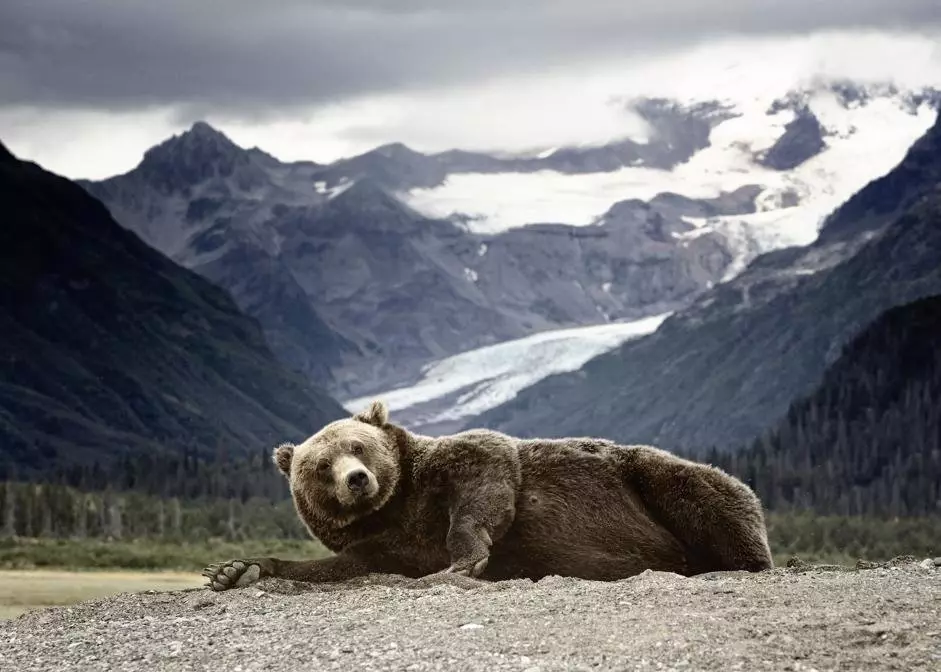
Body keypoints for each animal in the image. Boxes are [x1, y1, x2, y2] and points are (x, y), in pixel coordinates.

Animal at [204, 400, 772, 588]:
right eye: (322, 466)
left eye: (357, 444)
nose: (357, 479)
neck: (395, 508)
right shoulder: (381, 545)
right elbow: (334, 568)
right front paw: (236, 570)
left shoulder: (459, 465)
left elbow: (485, 474)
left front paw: (464, 561)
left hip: (649, 477)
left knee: (705, 493)